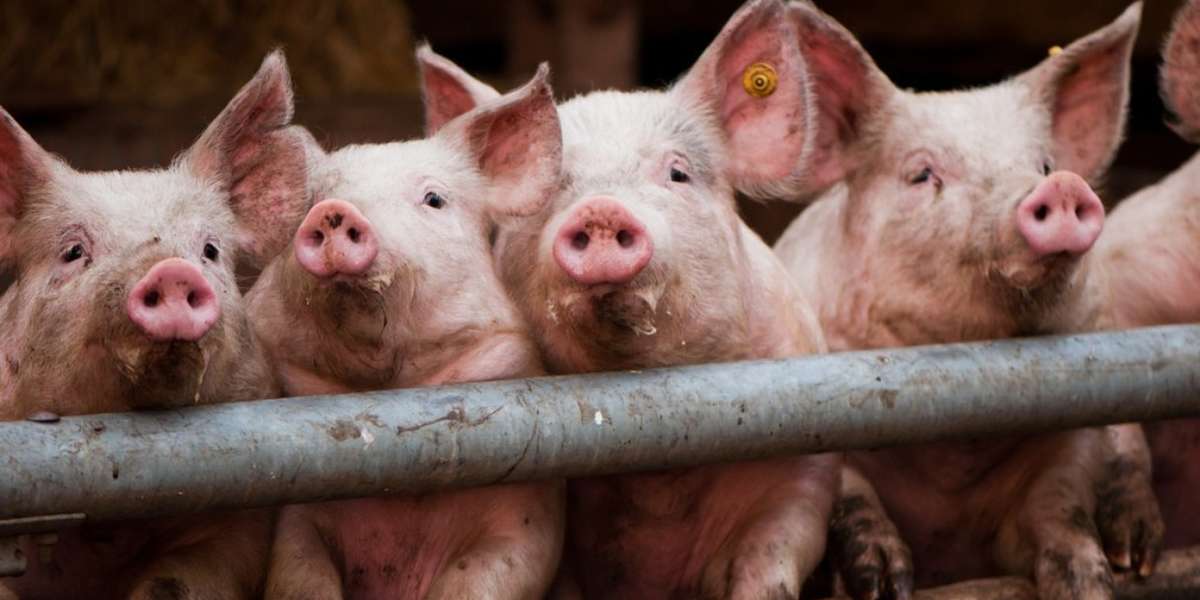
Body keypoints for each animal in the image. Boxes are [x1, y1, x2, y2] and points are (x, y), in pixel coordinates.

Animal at [246, 66, 565, 600]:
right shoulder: (295, 516)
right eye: (311, 200)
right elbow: (301, 575)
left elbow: (479, 578)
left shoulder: (525, 518)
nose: (334, 211)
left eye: (434, 198)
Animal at [773, 3, 1163, 599]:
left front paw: (1094, 581)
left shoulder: (1072, 434)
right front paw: (884, 583)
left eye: (1044, 164)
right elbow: (851, 492)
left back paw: (1136, 555)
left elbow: (1062, 514)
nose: (1061, 188)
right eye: (922, 173)